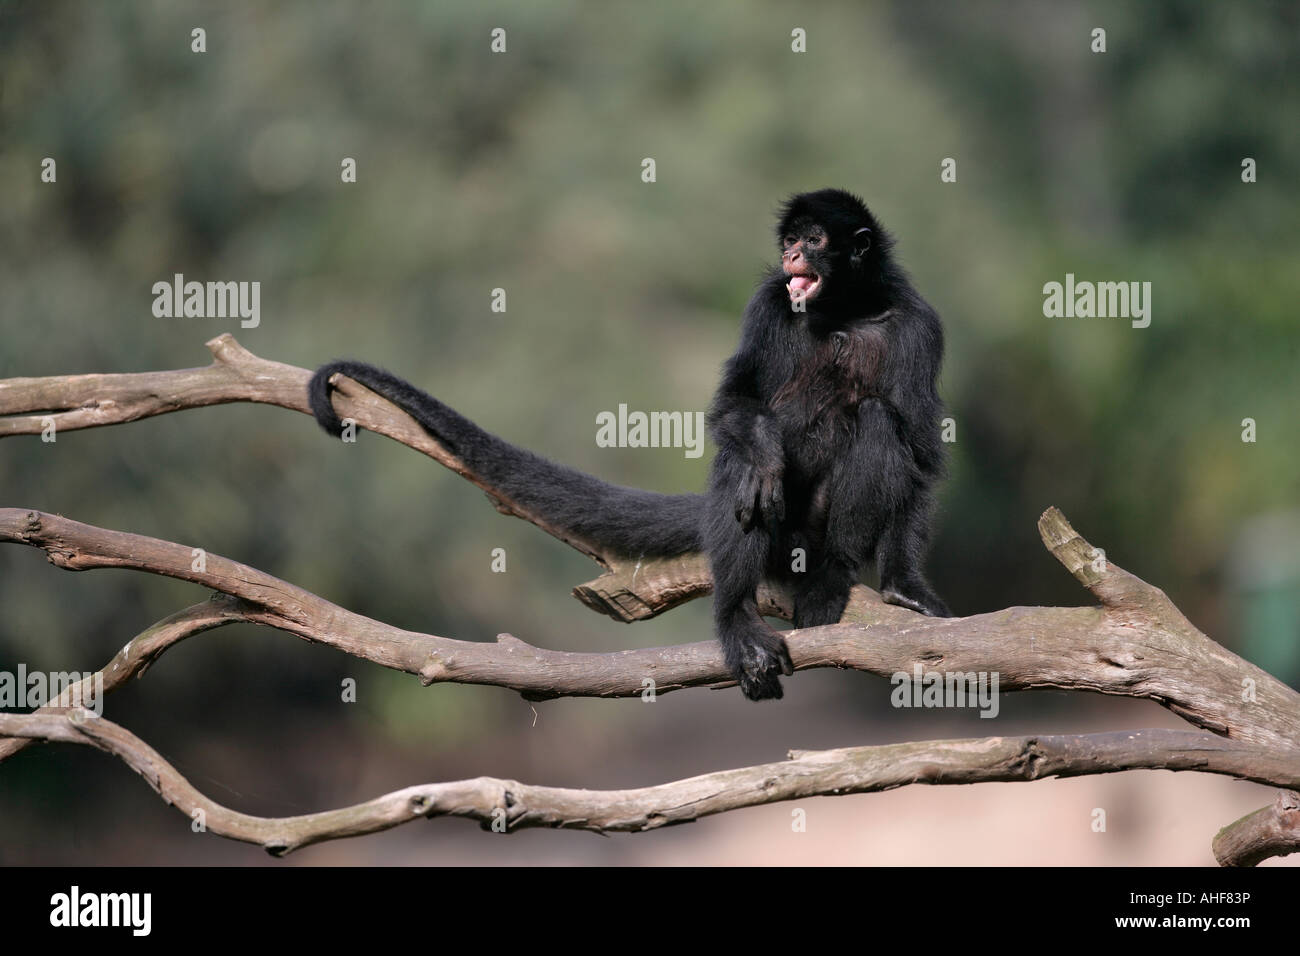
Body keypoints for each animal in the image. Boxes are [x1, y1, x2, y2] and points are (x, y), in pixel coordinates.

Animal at [309, 188, 950, 702]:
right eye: (790, 240)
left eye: (814, 240)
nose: (793, 256)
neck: (841, 313)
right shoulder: (770, 300)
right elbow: (735, 409)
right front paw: (765, 456)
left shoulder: (919, 323)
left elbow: (921, 451)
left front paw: (904, 585)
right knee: (741, 462)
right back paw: (737, 617)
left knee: (876, 419)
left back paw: (831, 574)